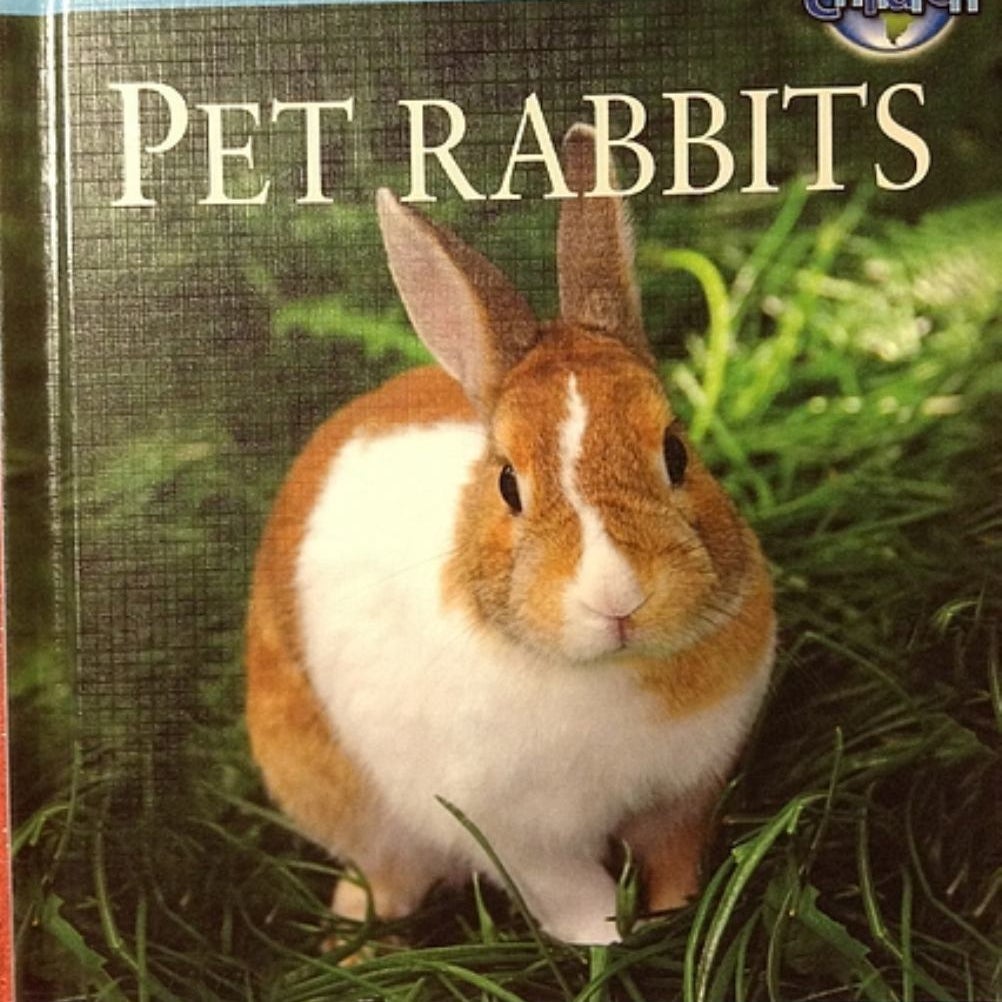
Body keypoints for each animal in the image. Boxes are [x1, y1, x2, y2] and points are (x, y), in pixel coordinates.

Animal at [245, 123, 775, 947]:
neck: (605, 671)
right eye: (507, 485)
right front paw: (609, 940)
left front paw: (672, 914)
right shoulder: (513, 838)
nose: (617, 597)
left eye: (676, 452)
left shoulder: (684, 793)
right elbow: (569, 894)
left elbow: (673, 857)